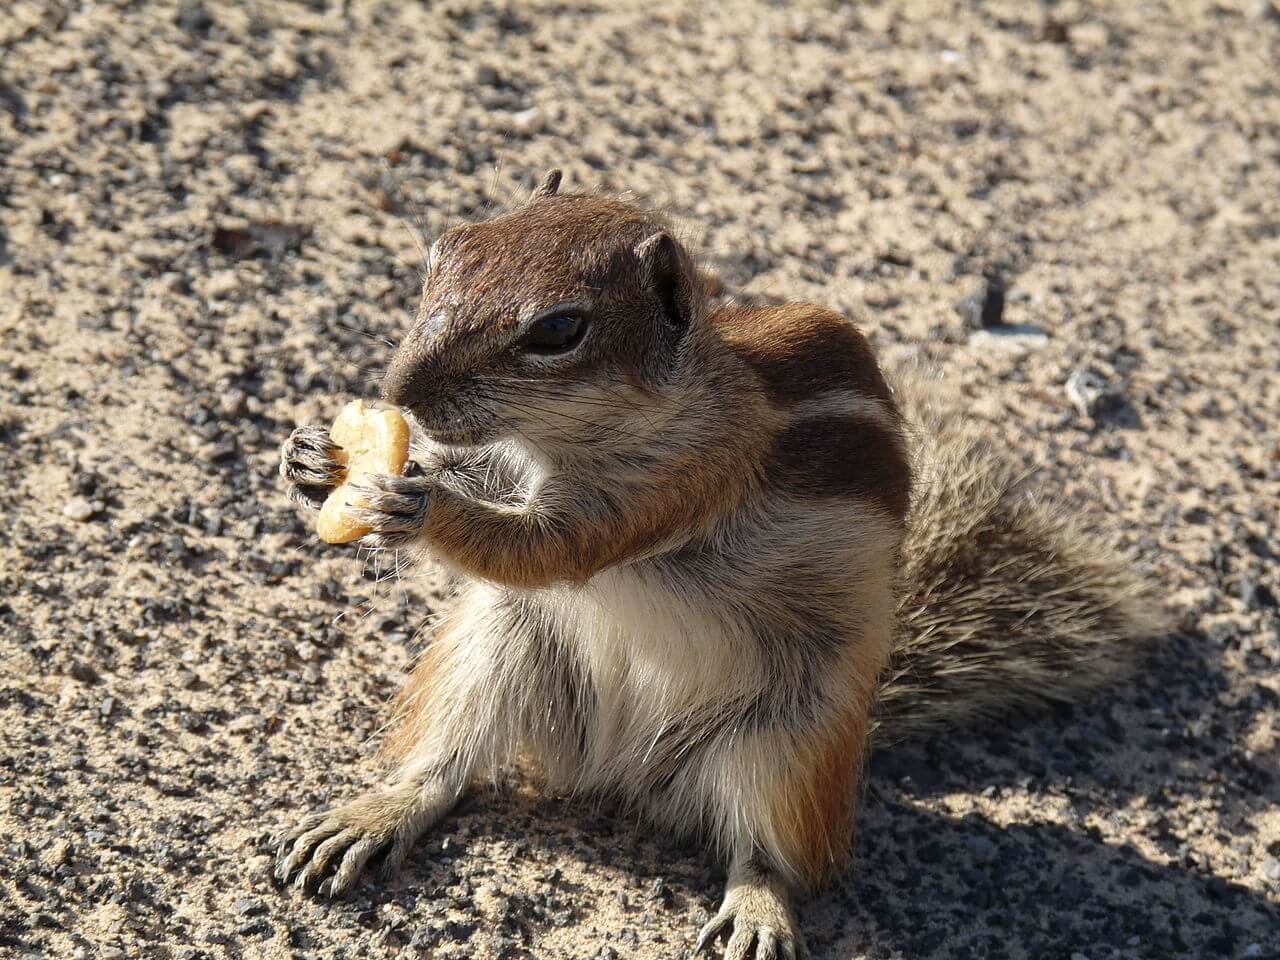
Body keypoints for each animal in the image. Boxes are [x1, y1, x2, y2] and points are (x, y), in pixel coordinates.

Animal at [273, 169, 1164, 958]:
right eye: (445, 251)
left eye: (558, 331)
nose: (398, 389)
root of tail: (623, 773)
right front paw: (314, 457)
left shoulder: (675, 485)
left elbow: (548, 547)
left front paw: (415, 505)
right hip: (496, 651)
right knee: (446, 764)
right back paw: (372, 816)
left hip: (789, 745)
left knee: (775, 855)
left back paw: (758, 910)